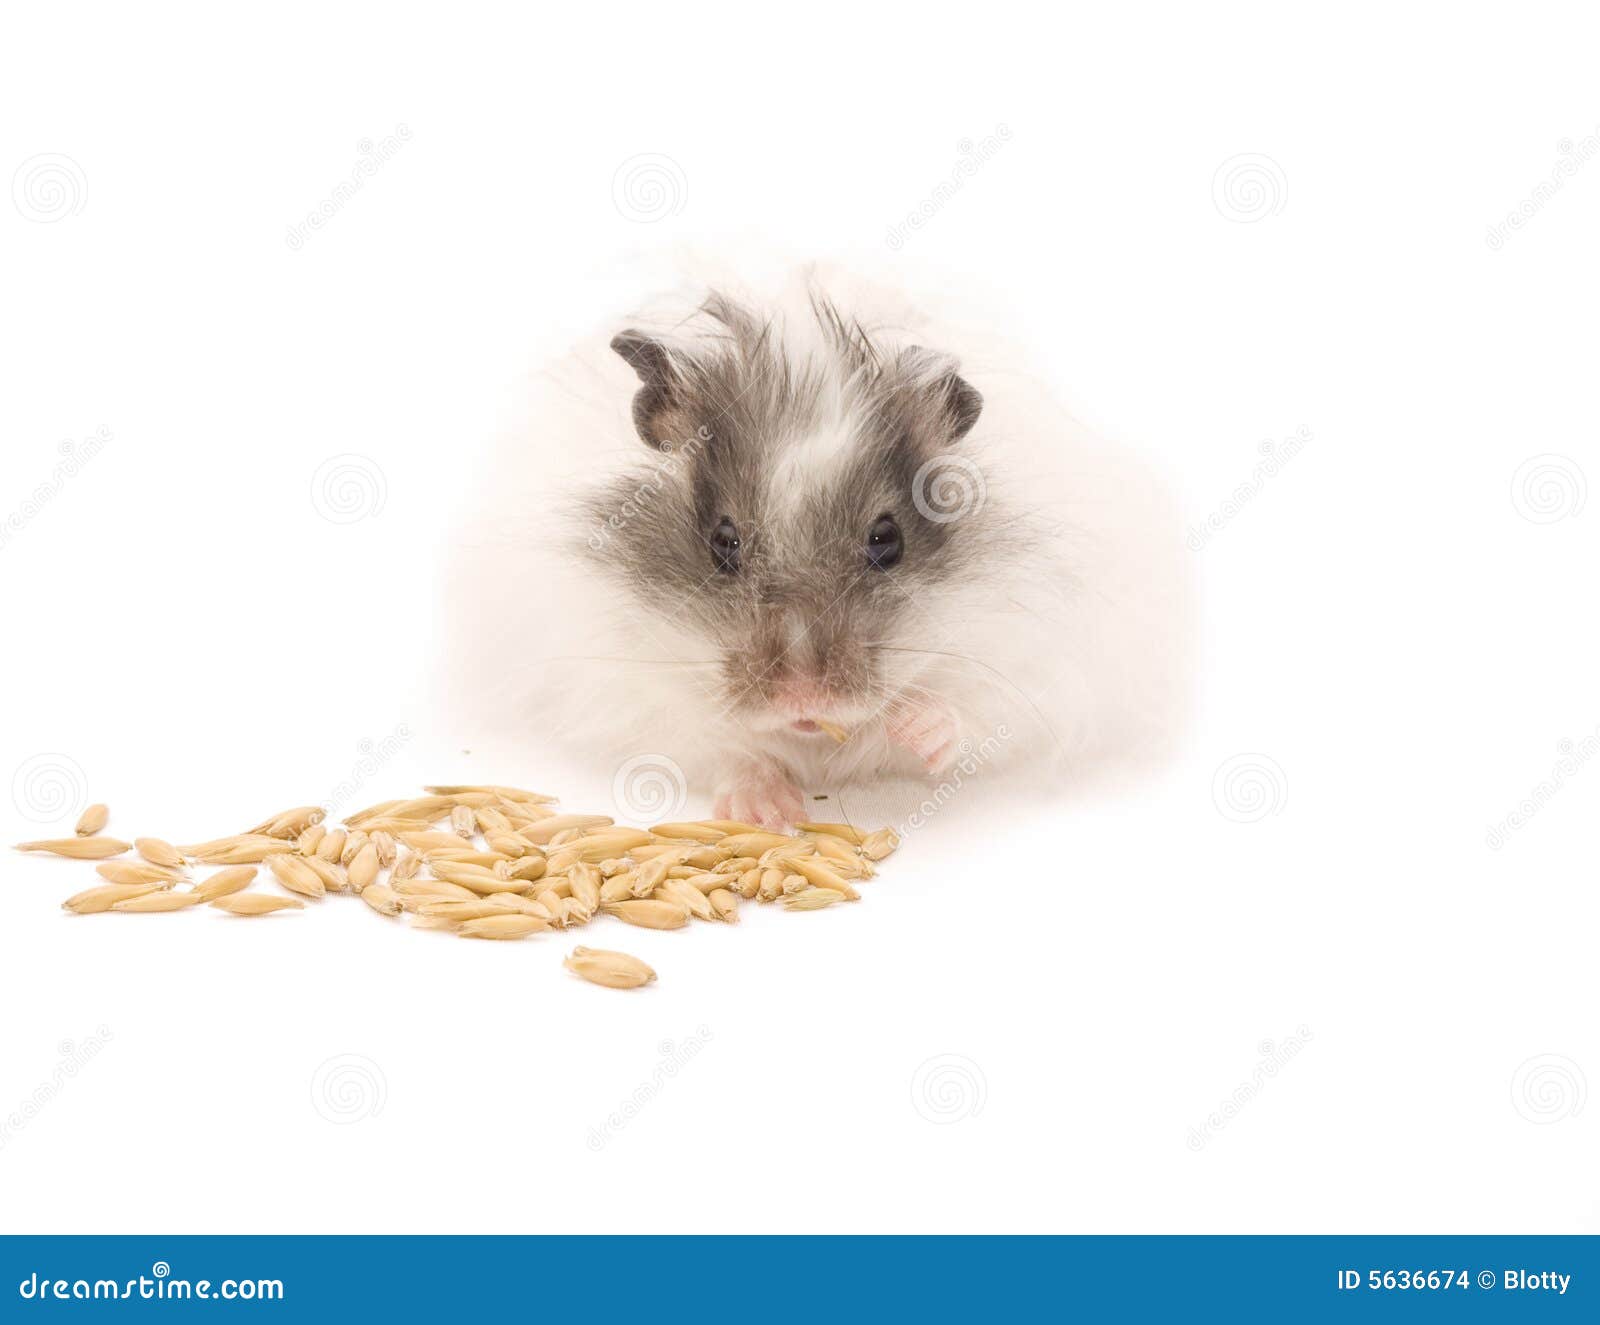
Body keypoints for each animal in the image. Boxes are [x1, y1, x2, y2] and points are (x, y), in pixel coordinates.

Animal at [446, 267, 1192, 827]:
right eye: (722, 543)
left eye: (887, 540)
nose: (802, 696)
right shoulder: (613, 685)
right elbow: (713, 742)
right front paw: (769, 809)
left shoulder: (1043, 661)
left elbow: (970, 715)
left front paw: (915, 726)